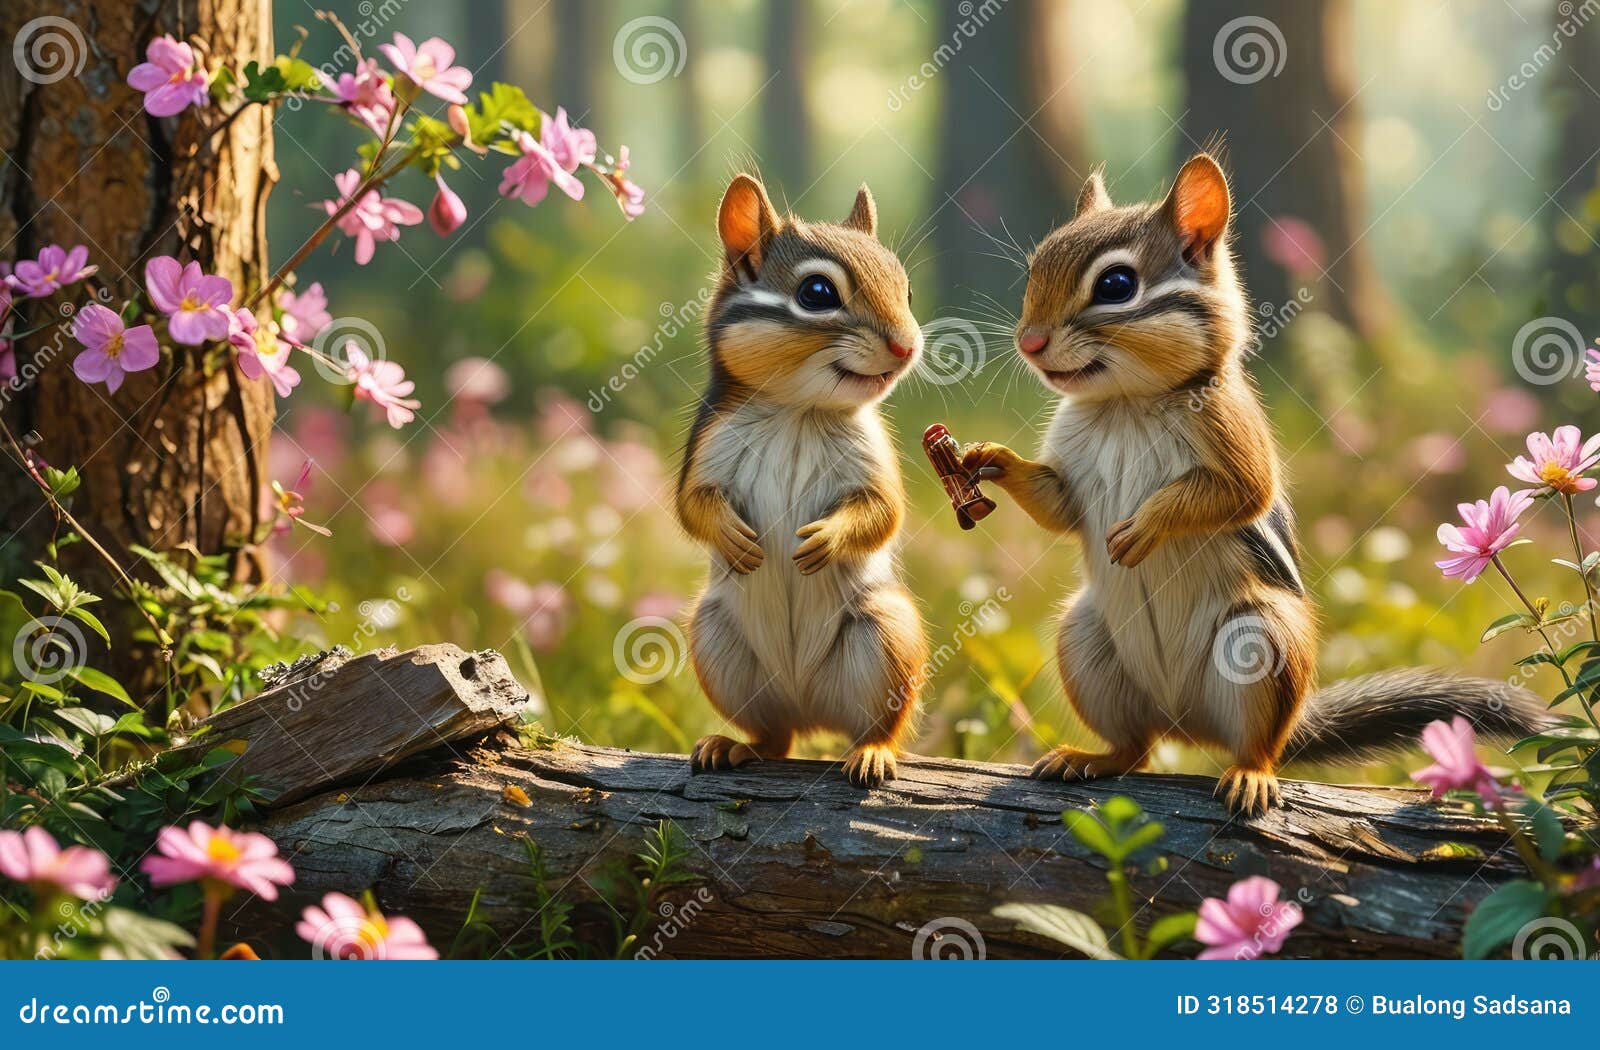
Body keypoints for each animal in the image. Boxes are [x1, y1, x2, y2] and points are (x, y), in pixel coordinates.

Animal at [676, 173, 928, 788]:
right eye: (817, 293)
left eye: (907, 290)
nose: (907, 345)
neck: (799, 411)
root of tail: (812, 709)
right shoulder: (706, 447)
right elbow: (691, 505)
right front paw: (733, 537)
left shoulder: (873, 459)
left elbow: (884, 510)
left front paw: (825, 539)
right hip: (717, 642)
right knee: (773, 737)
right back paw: (730, 745)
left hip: (885, 637)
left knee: (876, 726)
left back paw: (871, 752)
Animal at [961, 152, 1550, 815]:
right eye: (1035, 265)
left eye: (1115, 285)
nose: (1028, 341)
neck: (1126, 402)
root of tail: (1186, 725)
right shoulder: (1071, 471)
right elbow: (1057, 505)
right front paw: (989, 458)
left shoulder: (1235, 437)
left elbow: (1241, 492)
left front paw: (1144, 526)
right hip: (1083, 641)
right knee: (1136, 749)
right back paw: (1089, 757)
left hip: (1263, 642)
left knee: (1256, 746)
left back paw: (1250, 775)